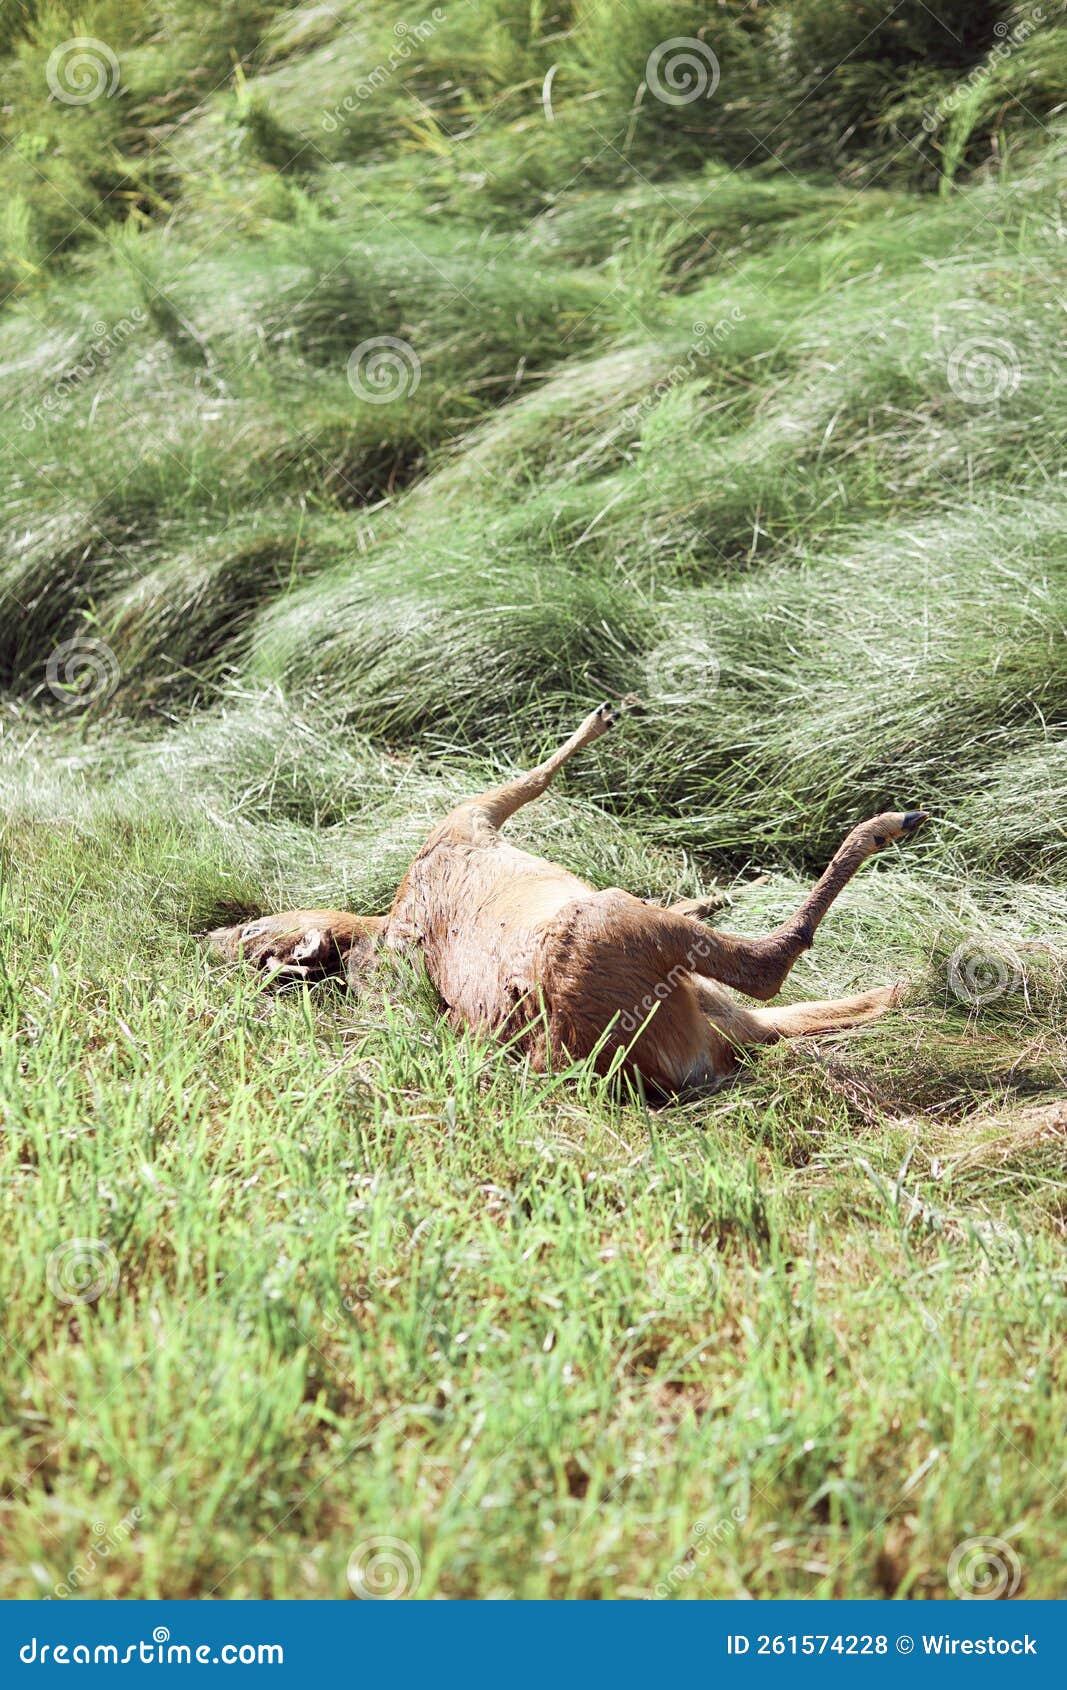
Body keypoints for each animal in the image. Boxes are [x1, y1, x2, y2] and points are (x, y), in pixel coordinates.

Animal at [209, 699, 927, 1097]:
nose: (209, 938)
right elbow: (532, 778)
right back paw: (890, 834)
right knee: (770, 964)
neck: (384, 921)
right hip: (599, 923)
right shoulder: (462, 823)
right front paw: (601, 718)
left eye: (252, 929)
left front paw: (710, 899)